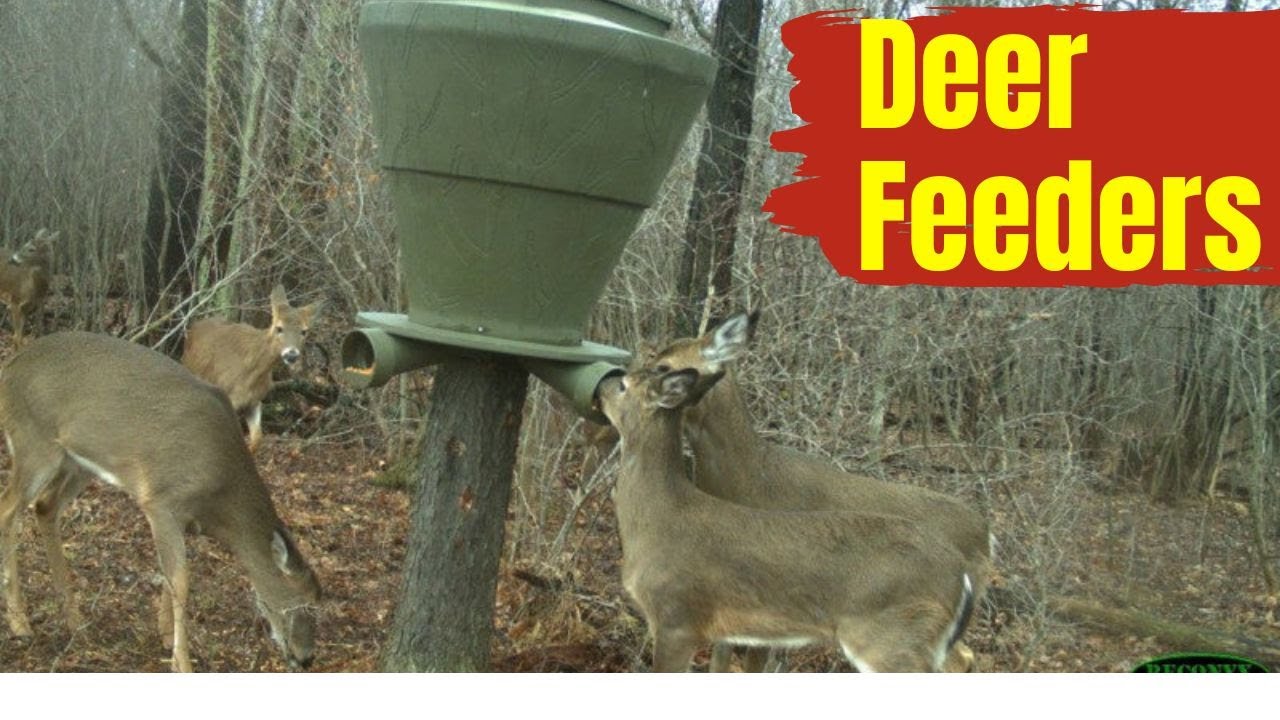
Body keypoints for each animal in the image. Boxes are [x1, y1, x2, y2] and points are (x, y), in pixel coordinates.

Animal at [0, 331, 322, 671]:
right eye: (304, 604)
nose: (307, 657)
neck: (220, 499)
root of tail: (10, 366)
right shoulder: (162, 501)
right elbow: (180, 580)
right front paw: (182, 661)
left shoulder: (185, 518)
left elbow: (171, 575)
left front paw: (166, 634)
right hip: (34, 443)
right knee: (9, 509)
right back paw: (20, 623)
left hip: (77, 462)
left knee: (45, 506)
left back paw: (74, 620)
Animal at [182, 284, 320, 452]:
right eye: (279, 328)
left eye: (304, 331)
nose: (291, 354)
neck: (251, 374)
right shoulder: (229, 399)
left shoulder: (253, 401)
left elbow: (257, 439)